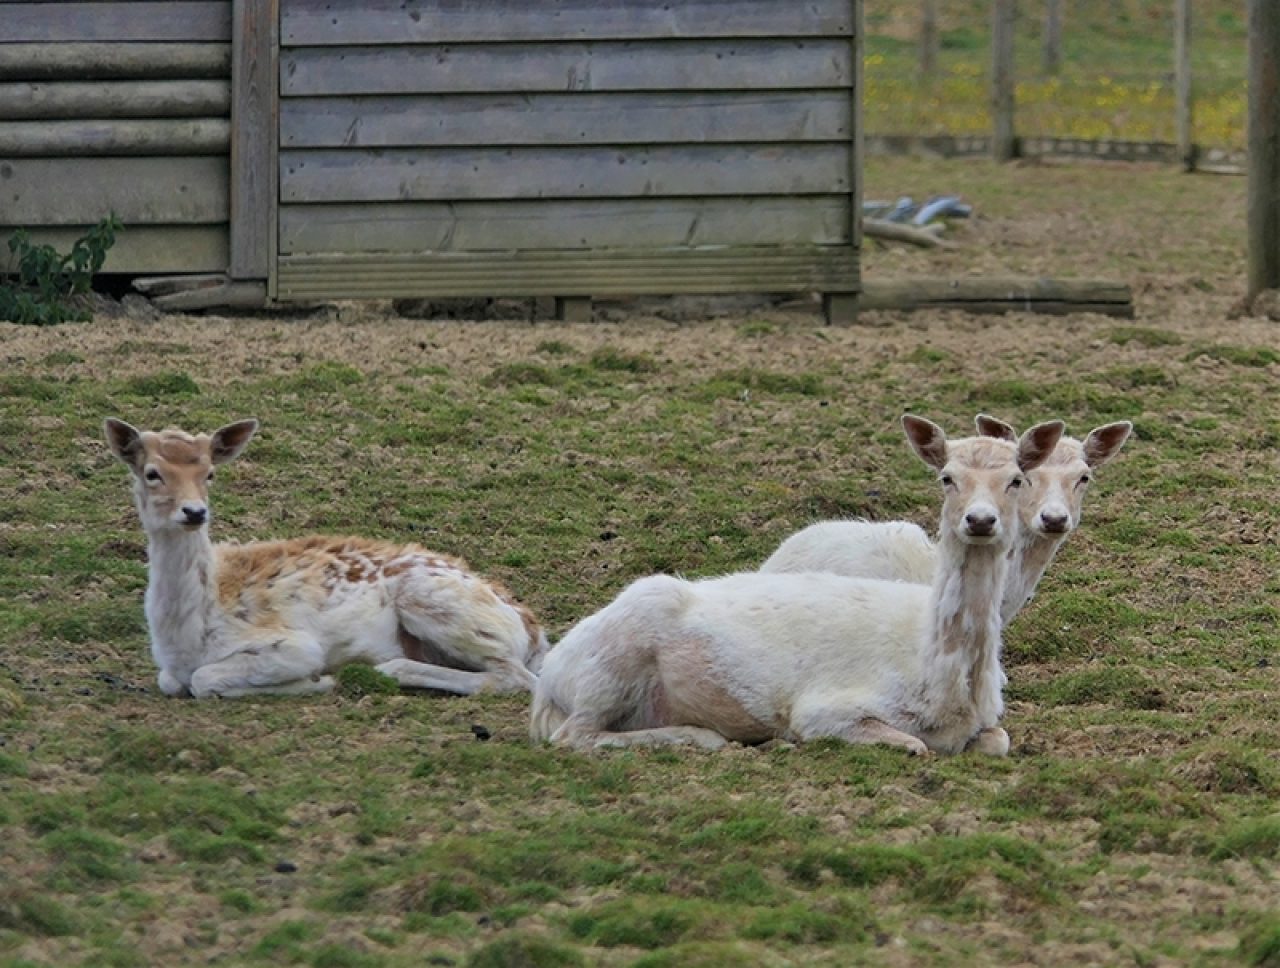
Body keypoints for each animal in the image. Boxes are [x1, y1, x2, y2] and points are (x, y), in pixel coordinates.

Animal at [104, 417, 548, 699]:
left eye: (209, 473)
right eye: (152, 472)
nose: (194, 512)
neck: (188, 634)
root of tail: (534, 632)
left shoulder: (294, 645)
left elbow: (204, 679)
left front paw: (317, 683)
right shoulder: (167, 669)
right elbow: (172, 682)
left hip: (433, 601)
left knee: (516, 677)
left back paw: (385, 670)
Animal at [530, 415, 1064, 756]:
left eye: (1016, 479)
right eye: (947, 477)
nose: (980, 520)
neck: (944, 683)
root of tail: (549, 675)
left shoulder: (989, 722)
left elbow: (999, 741)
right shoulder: (824, 710)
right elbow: (914, 745)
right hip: (607, 672)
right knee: (573, 736)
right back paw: (708, 738)